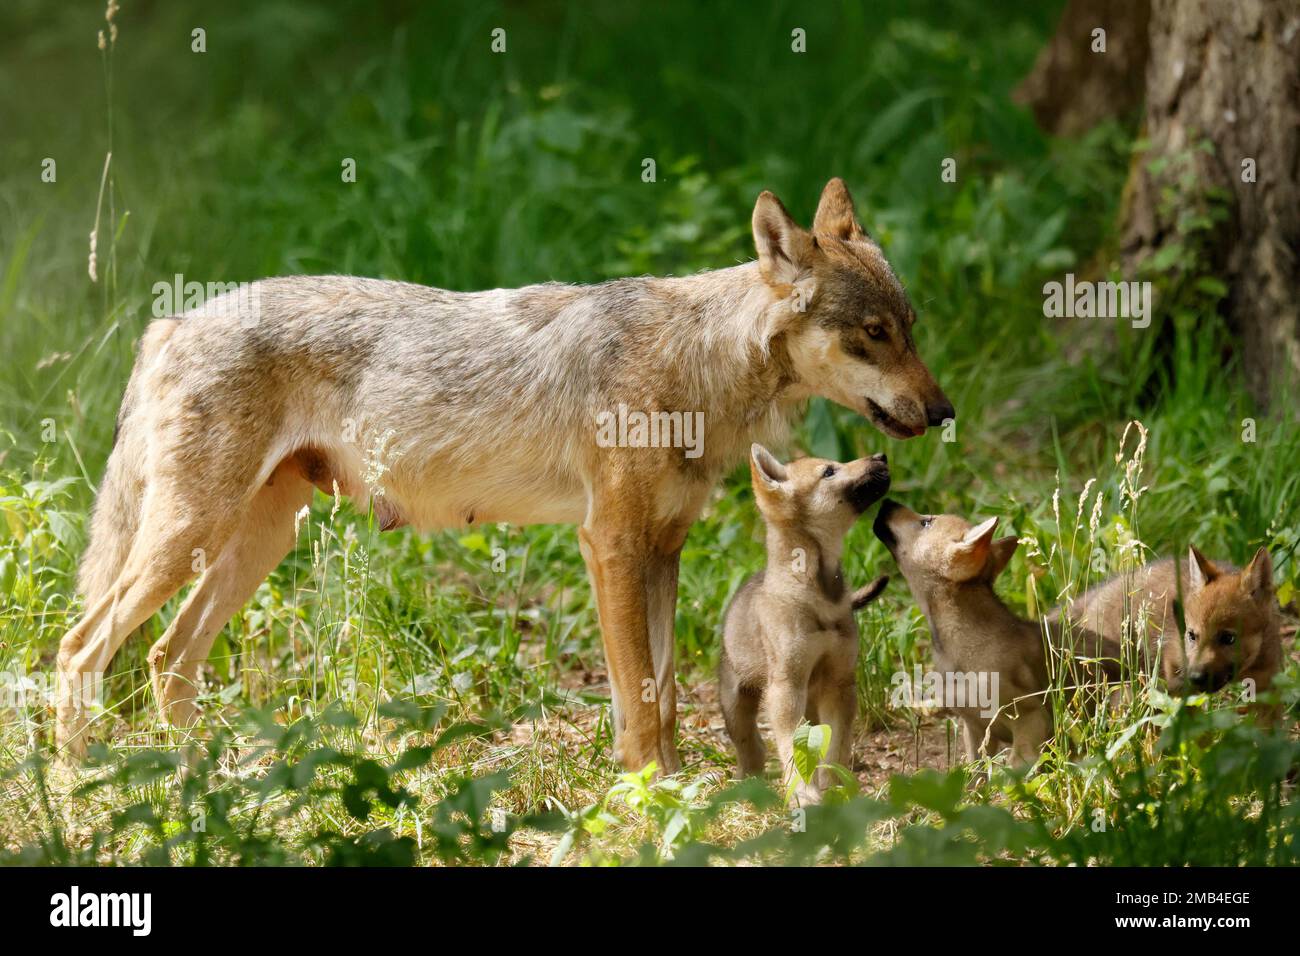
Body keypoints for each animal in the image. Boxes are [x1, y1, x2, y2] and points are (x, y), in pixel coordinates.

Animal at [55, 178, 953, 769]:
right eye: (873, 333)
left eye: (910, 326)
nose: (943, 411)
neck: (695, 365)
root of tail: (170, 320)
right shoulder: (610, 545)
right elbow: (639, 699)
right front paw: (649, 795)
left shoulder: (662, 551)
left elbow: (662, 694)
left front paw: (674, 792)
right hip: (189, 540)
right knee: (78, 650)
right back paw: (77, 784)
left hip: (251, 544)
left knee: (168, 658)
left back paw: (201, 782)